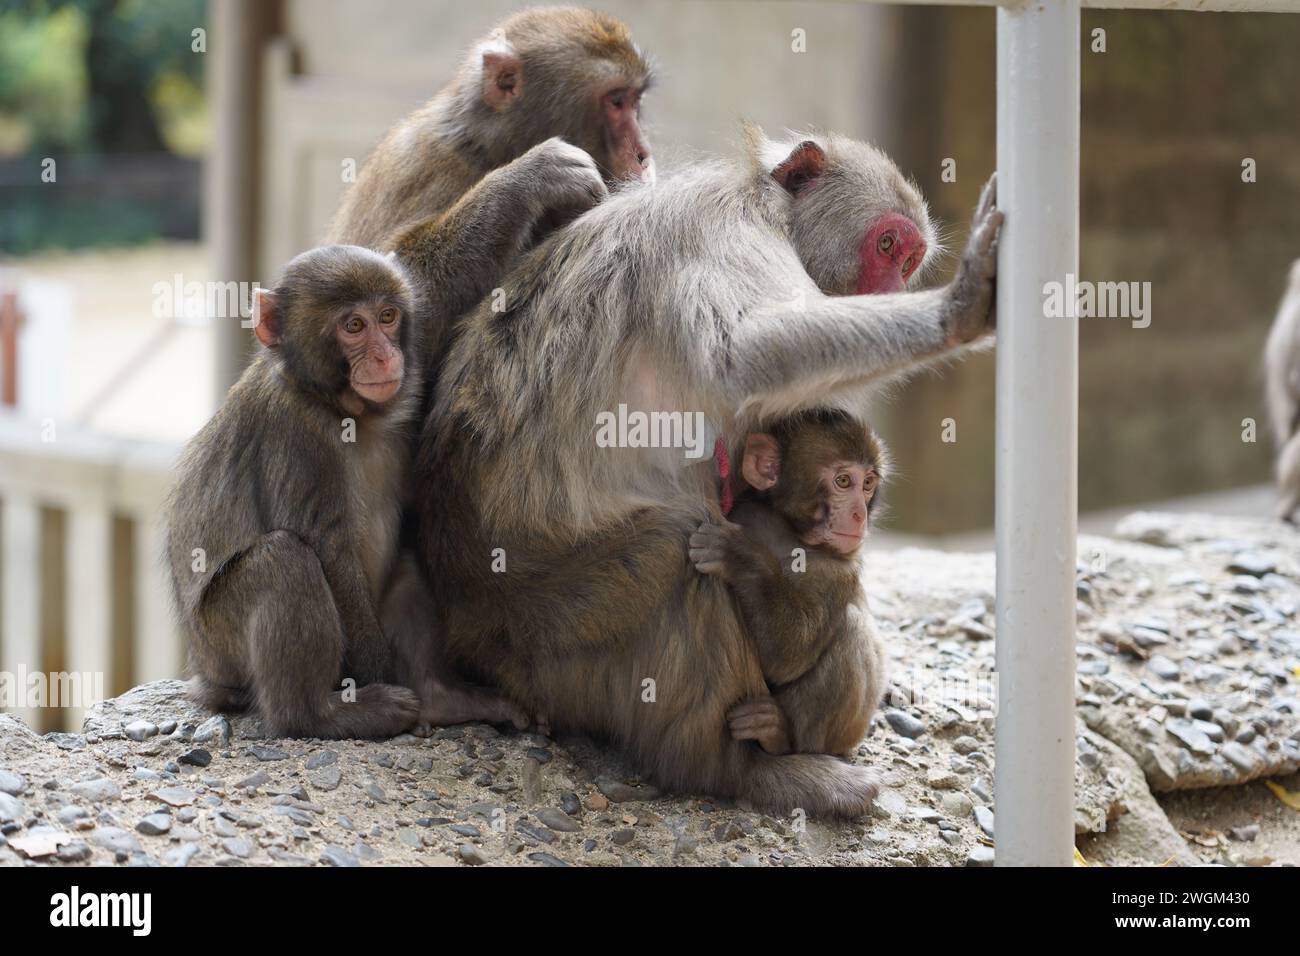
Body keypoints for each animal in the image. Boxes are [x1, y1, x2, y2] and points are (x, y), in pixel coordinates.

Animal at [165, 245, 527, 739]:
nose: (384, 355)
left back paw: (441, 700)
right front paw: (372, 678)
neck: (338, 408)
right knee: (284, 561)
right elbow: (328, 547)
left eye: (388, 316)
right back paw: (320, 714)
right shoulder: (295, 432)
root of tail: (206, 673)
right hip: (223, 645)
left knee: (408, 560)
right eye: (353, 326)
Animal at [689, 410, 889, 760]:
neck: (788, 534)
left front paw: (739, 558)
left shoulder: (838, 572)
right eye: (843, 481)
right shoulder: (747, 513)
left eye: (867, 484)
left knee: (852, 628)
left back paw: (780, 736)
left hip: (835, 738)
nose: (859, 515)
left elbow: (787, 655)